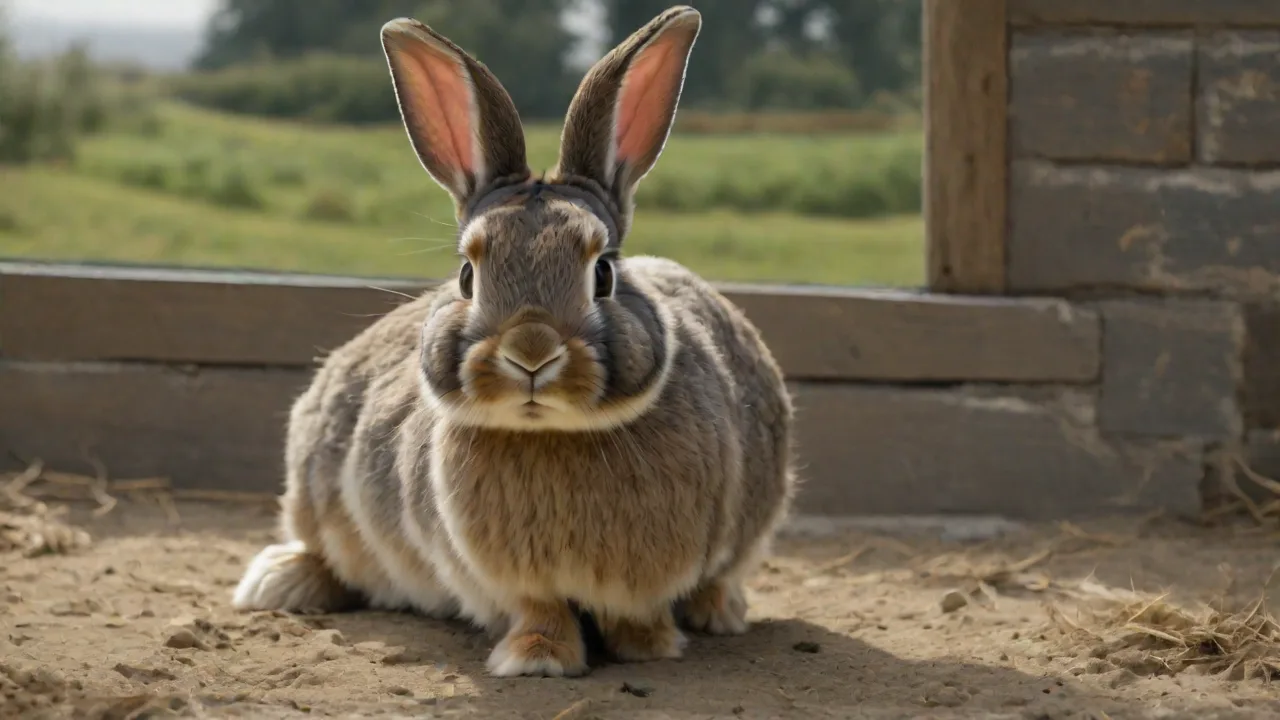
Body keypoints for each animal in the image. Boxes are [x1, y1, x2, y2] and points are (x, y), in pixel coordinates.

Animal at [231, 5, 797, 678]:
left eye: (603, 273)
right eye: (467, 276)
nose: (531, 353)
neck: (552, 433)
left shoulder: (649, 579)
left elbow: (639, 612)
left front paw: (650, 647)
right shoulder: (510, 581)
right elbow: (541, 612)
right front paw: (537, 660)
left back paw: (722, 612)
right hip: (315, 488)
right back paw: (277, 583)